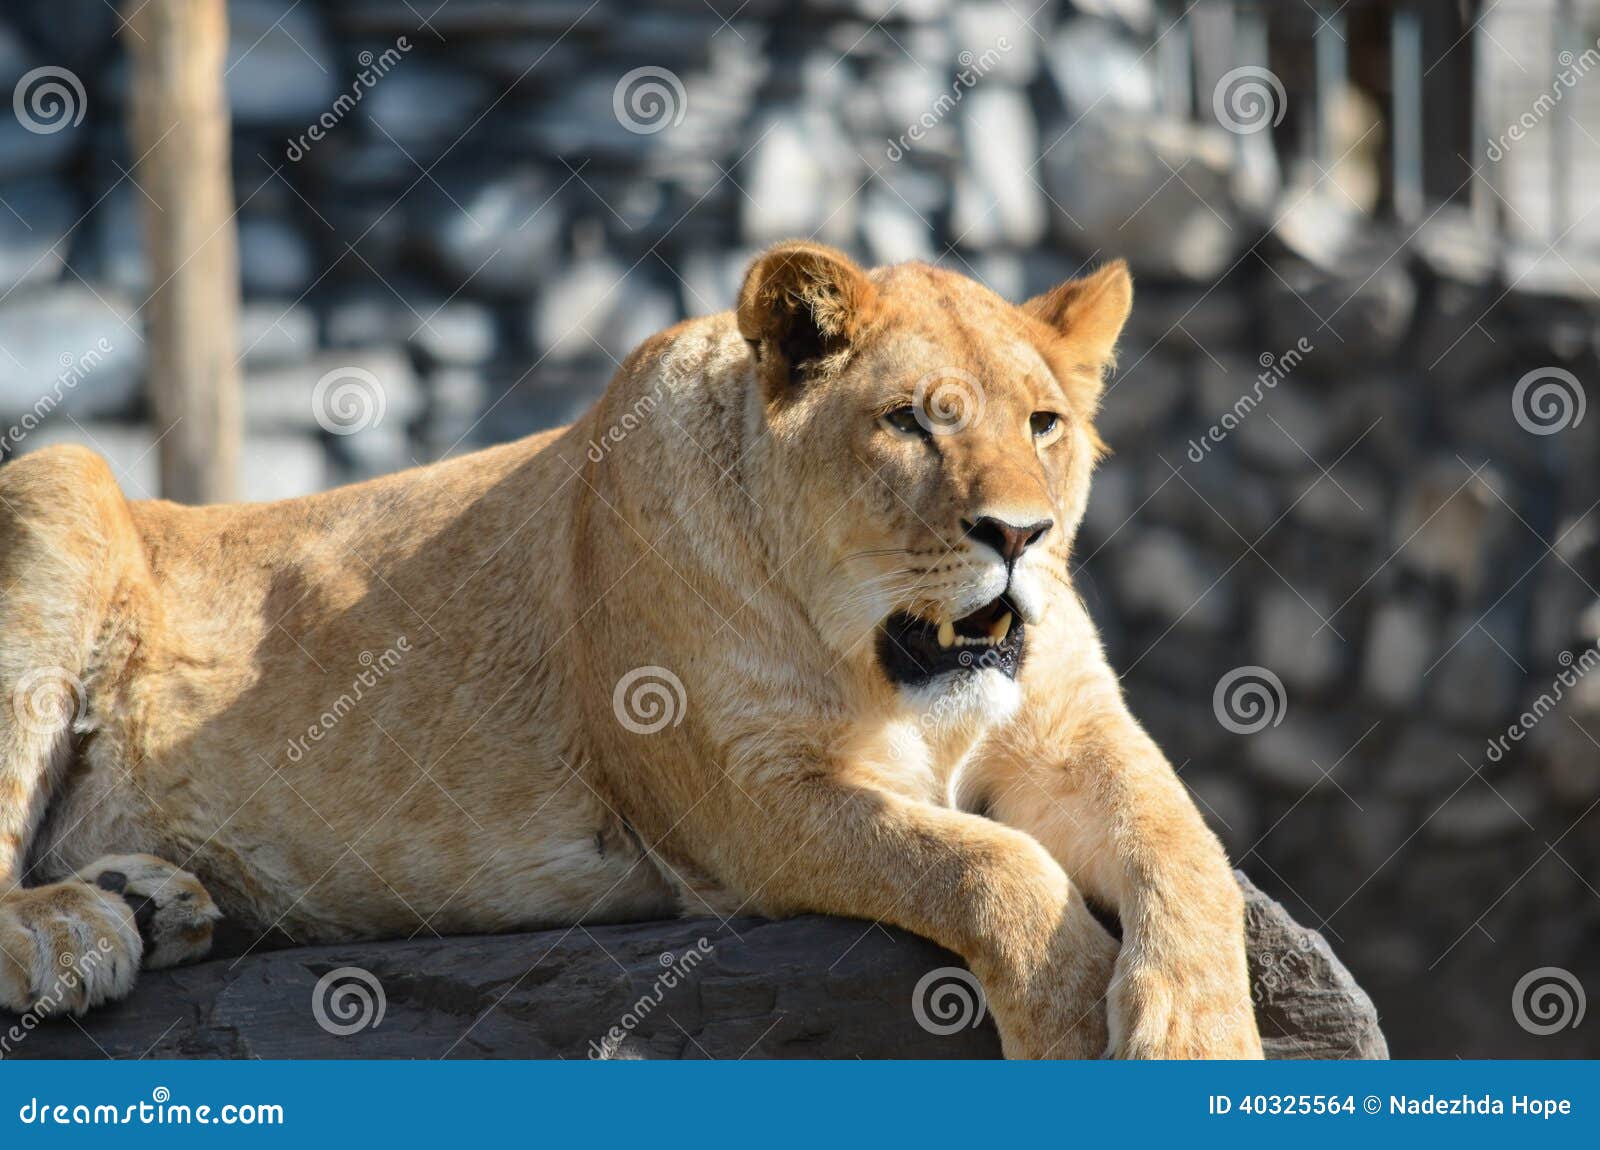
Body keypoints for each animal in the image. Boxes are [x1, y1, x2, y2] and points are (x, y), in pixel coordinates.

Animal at [0, 242, 1261, 1058]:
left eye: (1044, 423)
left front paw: (1198, 1037)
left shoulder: (1071, 730)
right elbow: (990, 866)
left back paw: (150, 895)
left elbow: (1189, 849)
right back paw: (76, 925)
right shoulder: (747, 812)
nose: (1019, 535)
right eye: (911, 420)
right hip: (63, 479)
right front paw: (1069, 1027)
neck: (890, 666)